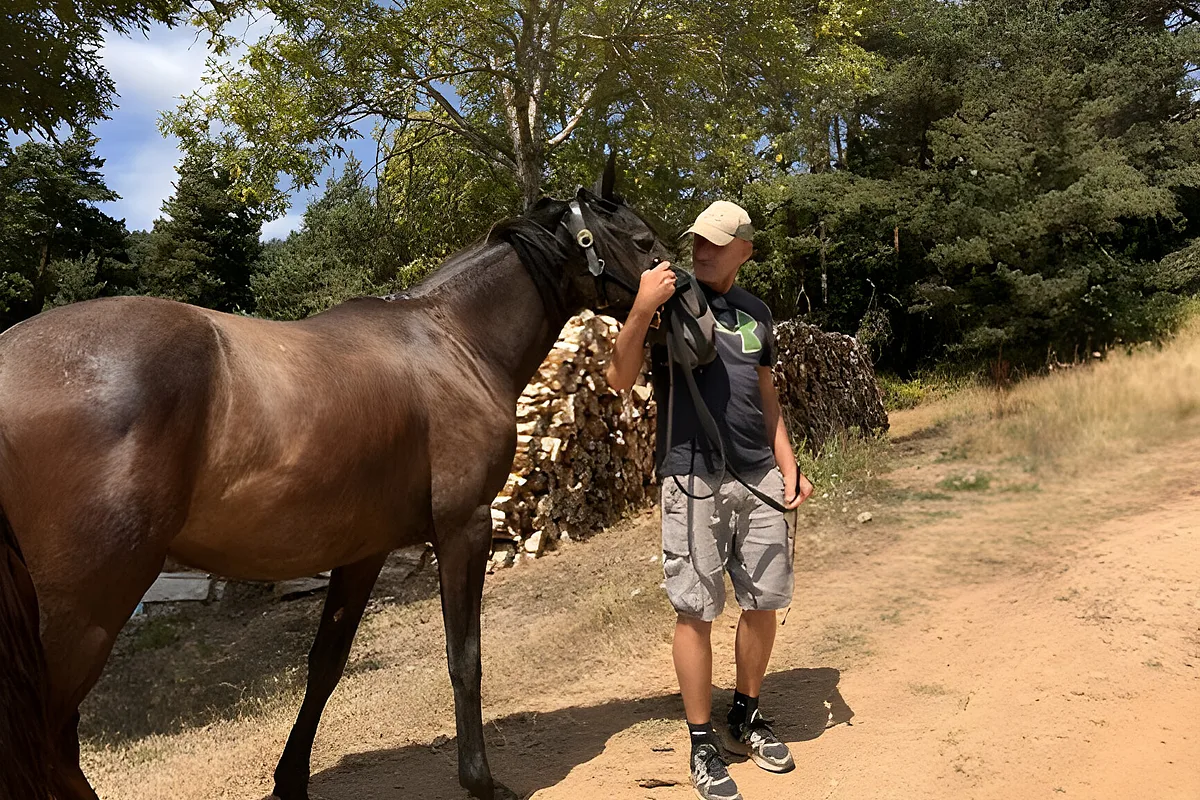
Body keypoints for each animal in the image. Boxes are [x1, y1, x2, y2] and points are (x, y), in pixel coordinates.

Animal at [0, 166, 670, 800]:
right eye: (642, 239)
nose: (681, 291)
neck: (453, 338)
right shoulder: (464, 526)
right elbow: (466, 657)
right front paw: (480, 780)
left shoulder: (363, 551)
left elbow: (326, 663)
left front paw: (290, 780)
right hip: (84, 612)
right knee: (50, 742)